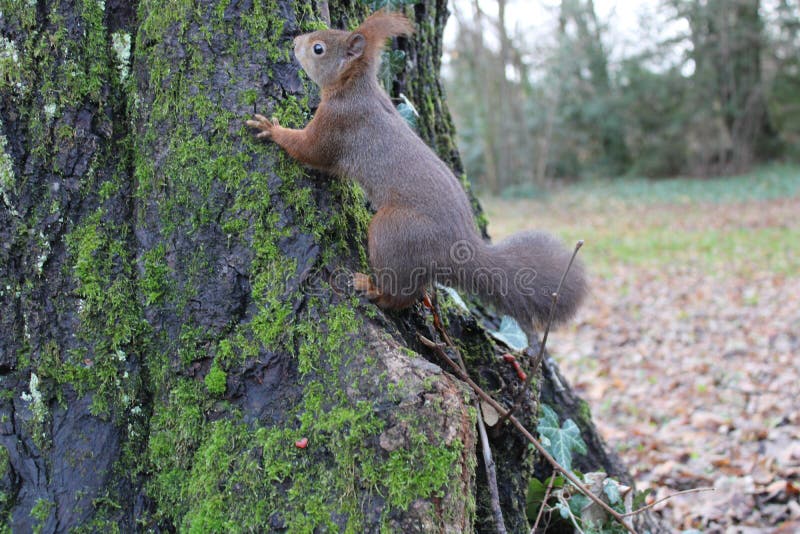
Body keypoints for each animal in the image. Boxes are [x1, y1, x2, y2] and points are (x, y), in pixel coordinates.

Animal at [247, 11, 587, 330]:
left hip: (393, 232)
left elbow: (309, 149)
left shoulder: (338, 122)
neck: (353, 86)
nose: (294, 42)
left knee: (398, 294)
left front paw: (271, 128)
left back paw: (372, 288)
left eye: (318, 48)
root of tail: (459, 249)